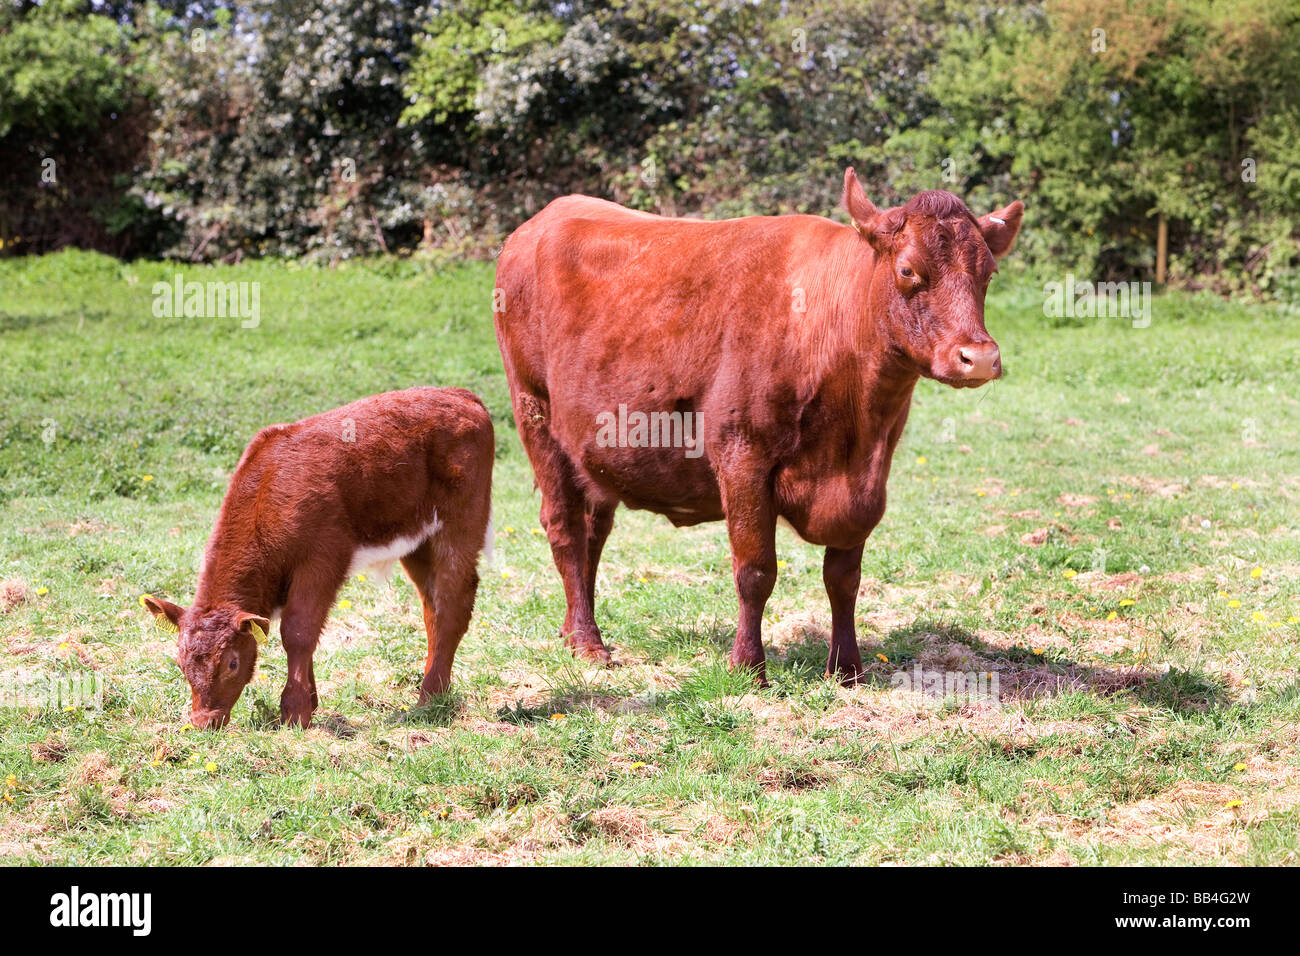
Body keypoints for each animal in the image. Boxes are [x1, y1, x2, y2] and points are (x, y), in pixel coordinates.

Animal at [143, 387, 494, 728]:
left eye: (232, 662)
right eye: (180, 662)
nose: (203, 722)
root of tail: (460, 394)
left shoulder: (322, 558)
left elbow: (298, 631)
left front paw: (295, 711)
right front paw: (309, 701)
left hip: (460, 524)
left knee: (452, 603)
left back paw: (428, 698)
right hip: (418, 542)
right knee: (431, 607)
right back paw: (437, 691)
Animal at [493, 168, 1022, 684]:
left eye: (989, 272)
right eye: (908, 269)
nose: (979, 357)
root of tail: (542, 218)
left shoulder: (869, 476)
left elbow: (844, 577)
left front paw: (846, 668)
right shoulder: (742, 458)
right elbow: (755, 571)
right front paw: (749, 667)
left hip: (596, 449)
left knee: (594, 532)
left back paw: (573, 629)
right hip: (534, 414)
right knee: (565, 528)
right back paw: (588, 642)